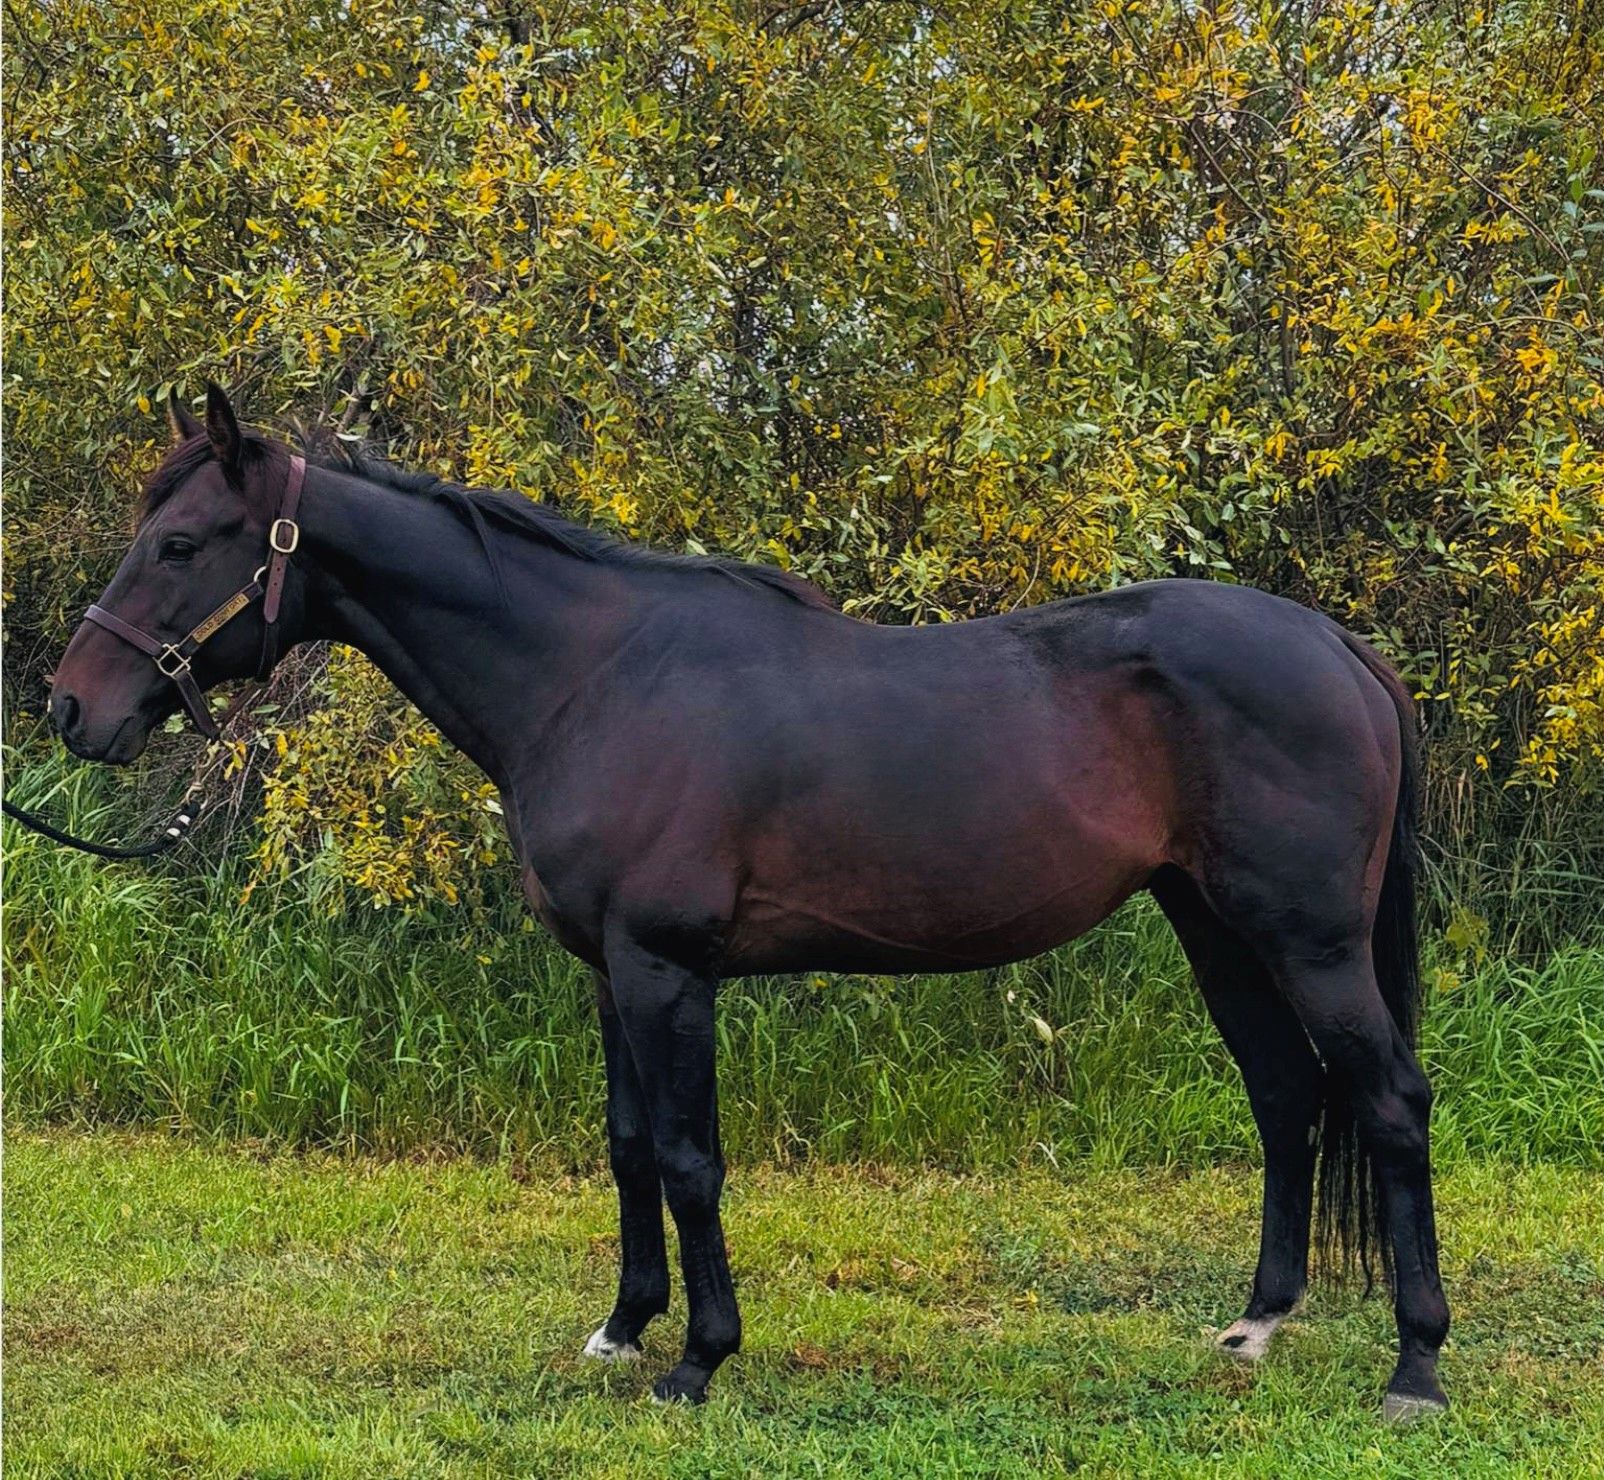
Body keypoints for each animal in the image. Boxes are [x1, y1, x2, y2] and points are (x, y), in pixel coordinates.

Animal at [48, 384, 1450, 1420]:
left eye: (181, 544)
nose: (73, 710)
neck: (594, 676)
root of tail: (1336, 647)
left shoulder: (667, 967)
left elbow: (687, 1156)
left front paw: (697, 1359)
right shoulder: (607, 968)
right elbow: (625, 1144)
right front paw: (622, 1327)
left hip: (1307, 940)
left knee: (1384, 1100)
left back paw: (1414, 1368)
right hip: (1214, 926)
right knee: (1284, 1093)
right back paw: (1257, 1324)